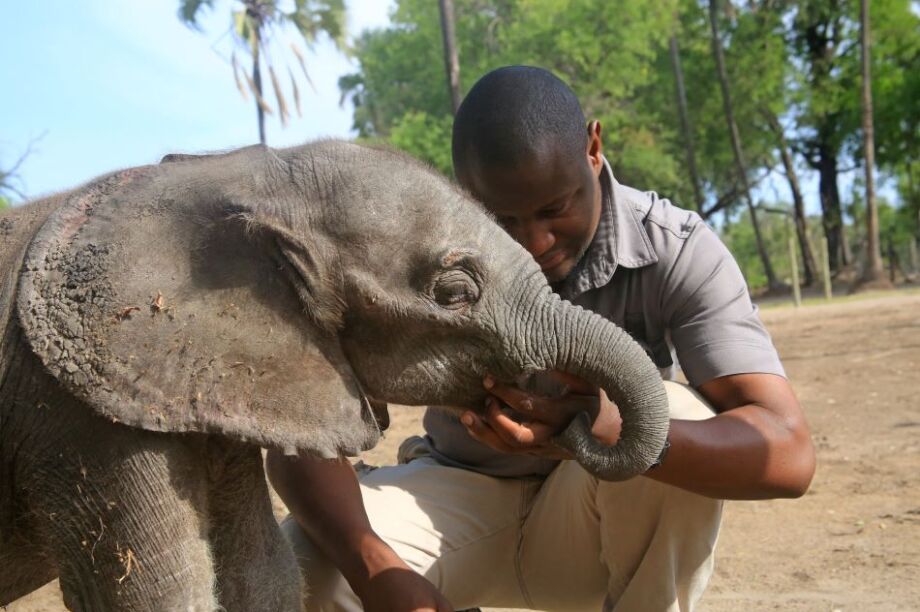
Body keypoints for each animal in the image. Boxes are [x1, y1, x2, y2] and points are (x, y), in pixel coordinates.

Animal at [0, 140, 669, 610]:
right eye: (455, 292)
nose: (580, 415)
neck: (241, 177)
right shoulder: (75, 412)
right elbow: (160, 593)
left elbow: (263, 577)